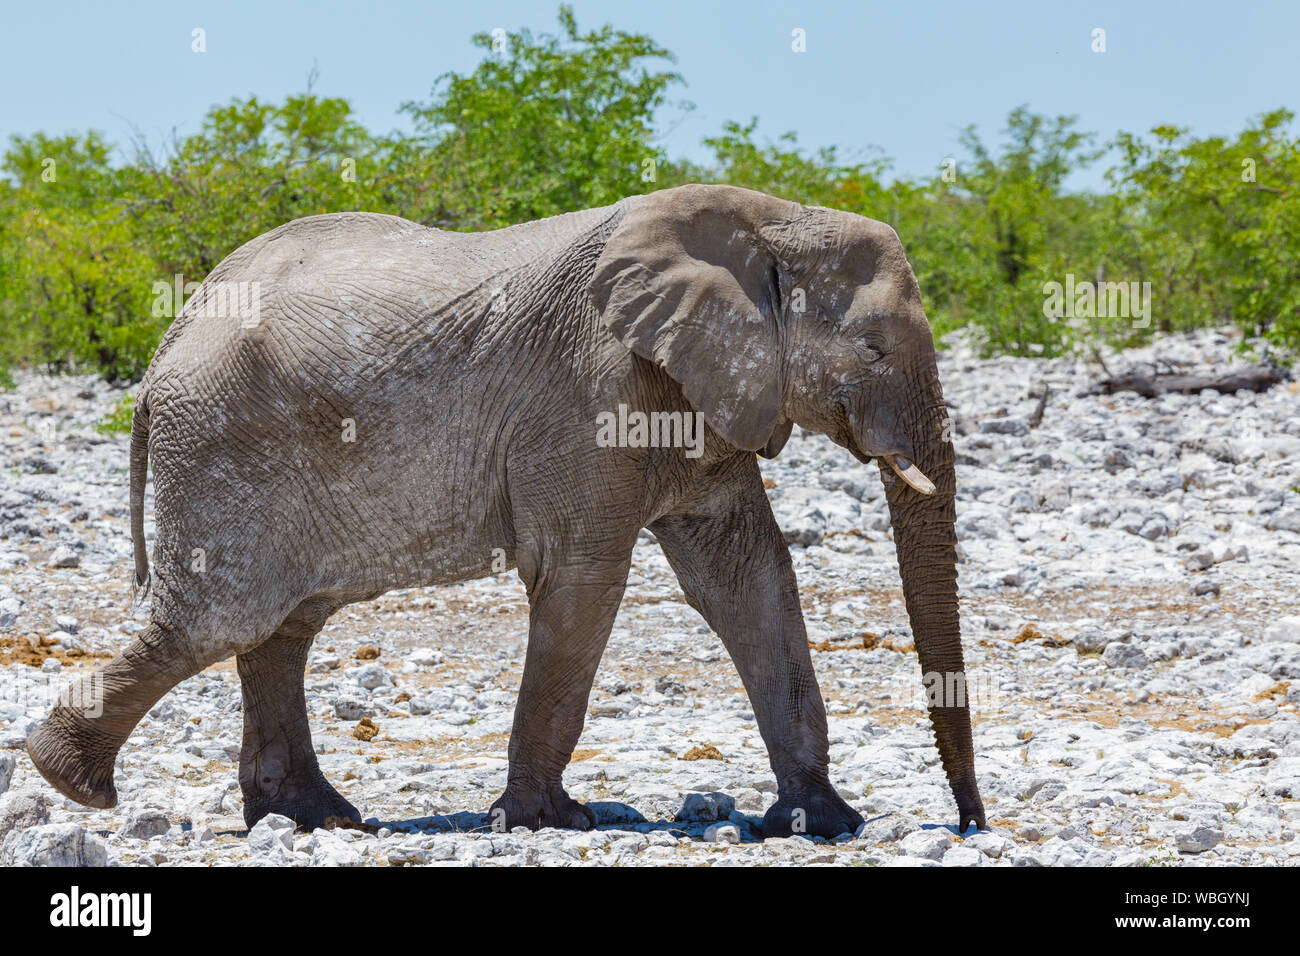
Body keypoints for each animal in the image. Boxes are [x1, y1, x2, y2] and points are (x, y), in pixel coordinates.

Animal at [26, 183, 986, 837]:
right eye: (873, 349)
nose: (971, 823)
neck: (766, 220)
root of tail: (166, 344)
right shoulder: (593, 392)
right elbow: (584, 578)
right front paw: (548, 820)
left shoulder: (702, 397)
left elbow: (750, 581)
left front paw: (826, 823)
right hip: (220, 447)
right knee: (216, 621)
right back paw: (71, 781)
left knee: (282, 626)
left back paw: (317, 817)